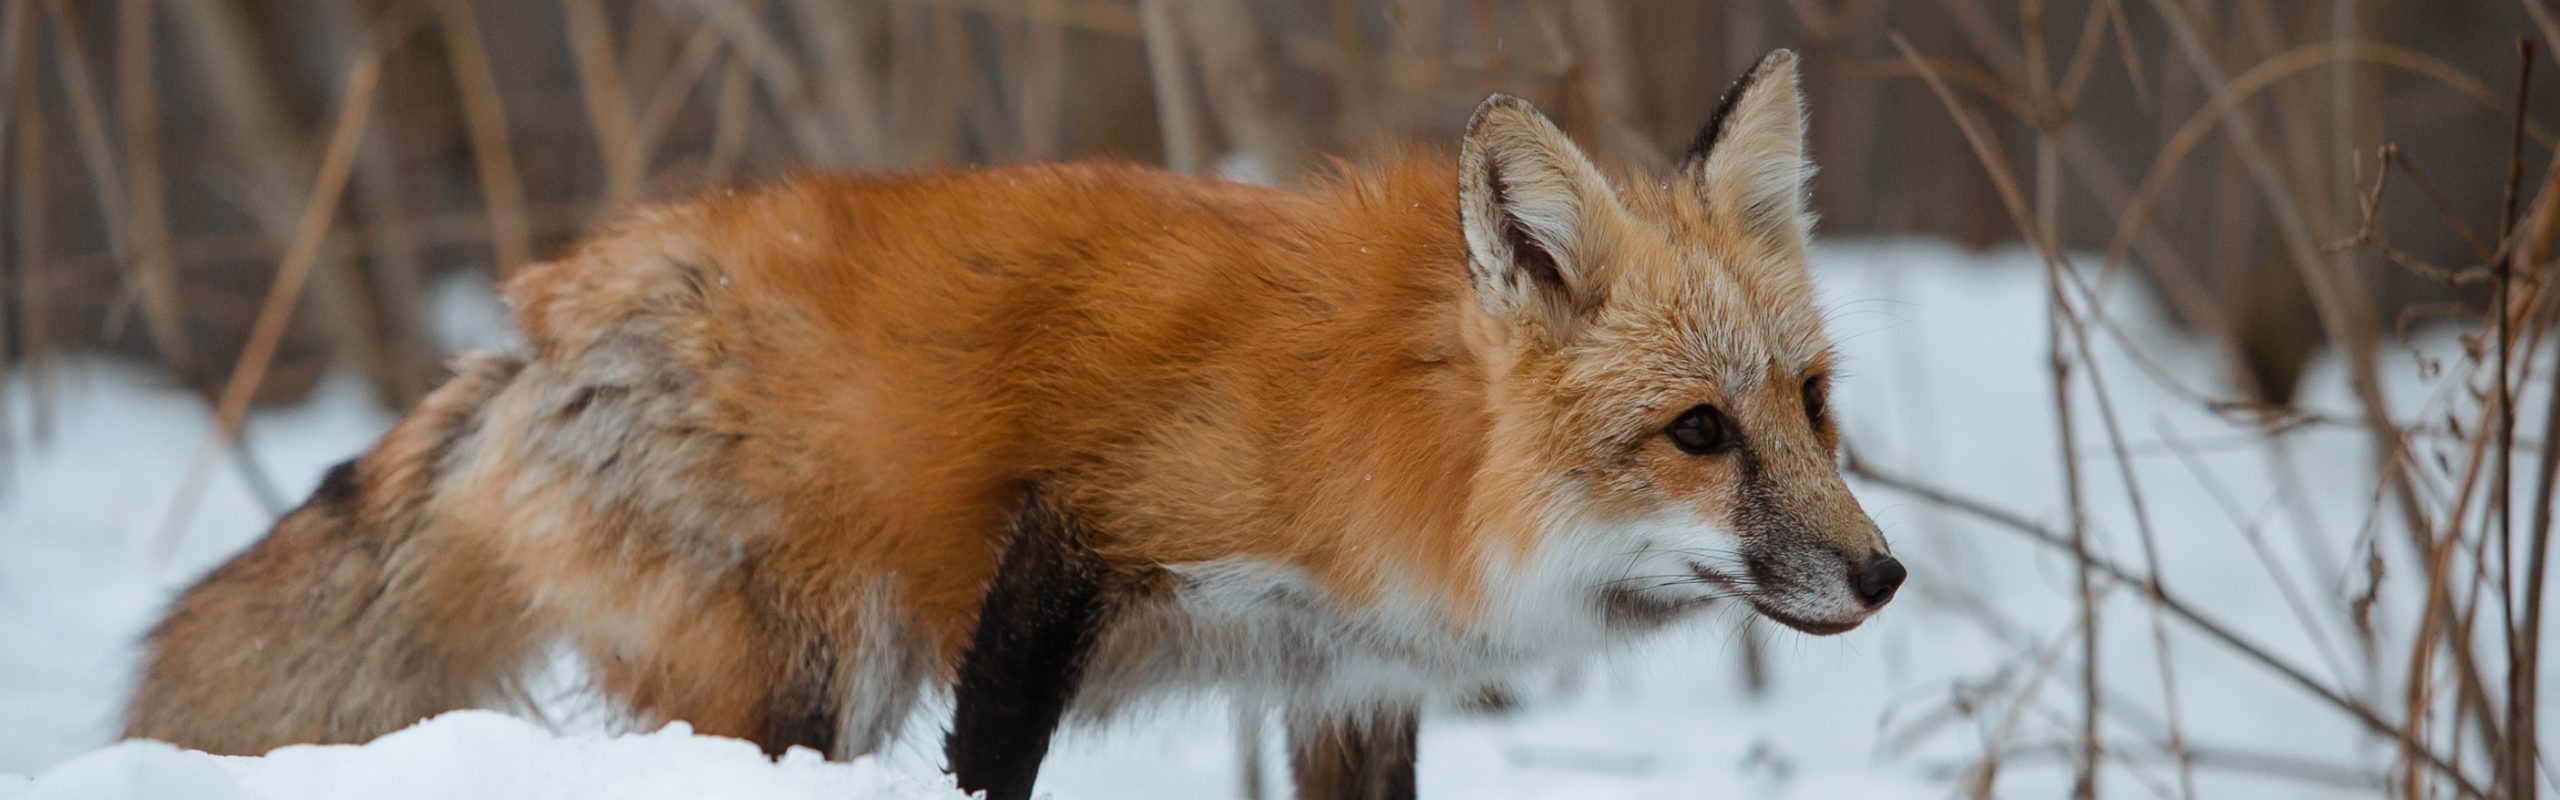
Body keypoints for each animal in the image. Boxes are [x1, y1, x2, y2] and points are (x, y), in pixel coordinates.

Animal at [123, 50, 1902, 800]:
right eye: (1696, 432)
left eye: (1812, 406)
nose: (1885, 577)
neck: (1411, 446)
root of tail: (543, 313)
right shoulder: (1083, 532)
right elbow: (993, 769)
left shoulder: (1347, 680)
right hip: (800, 684)